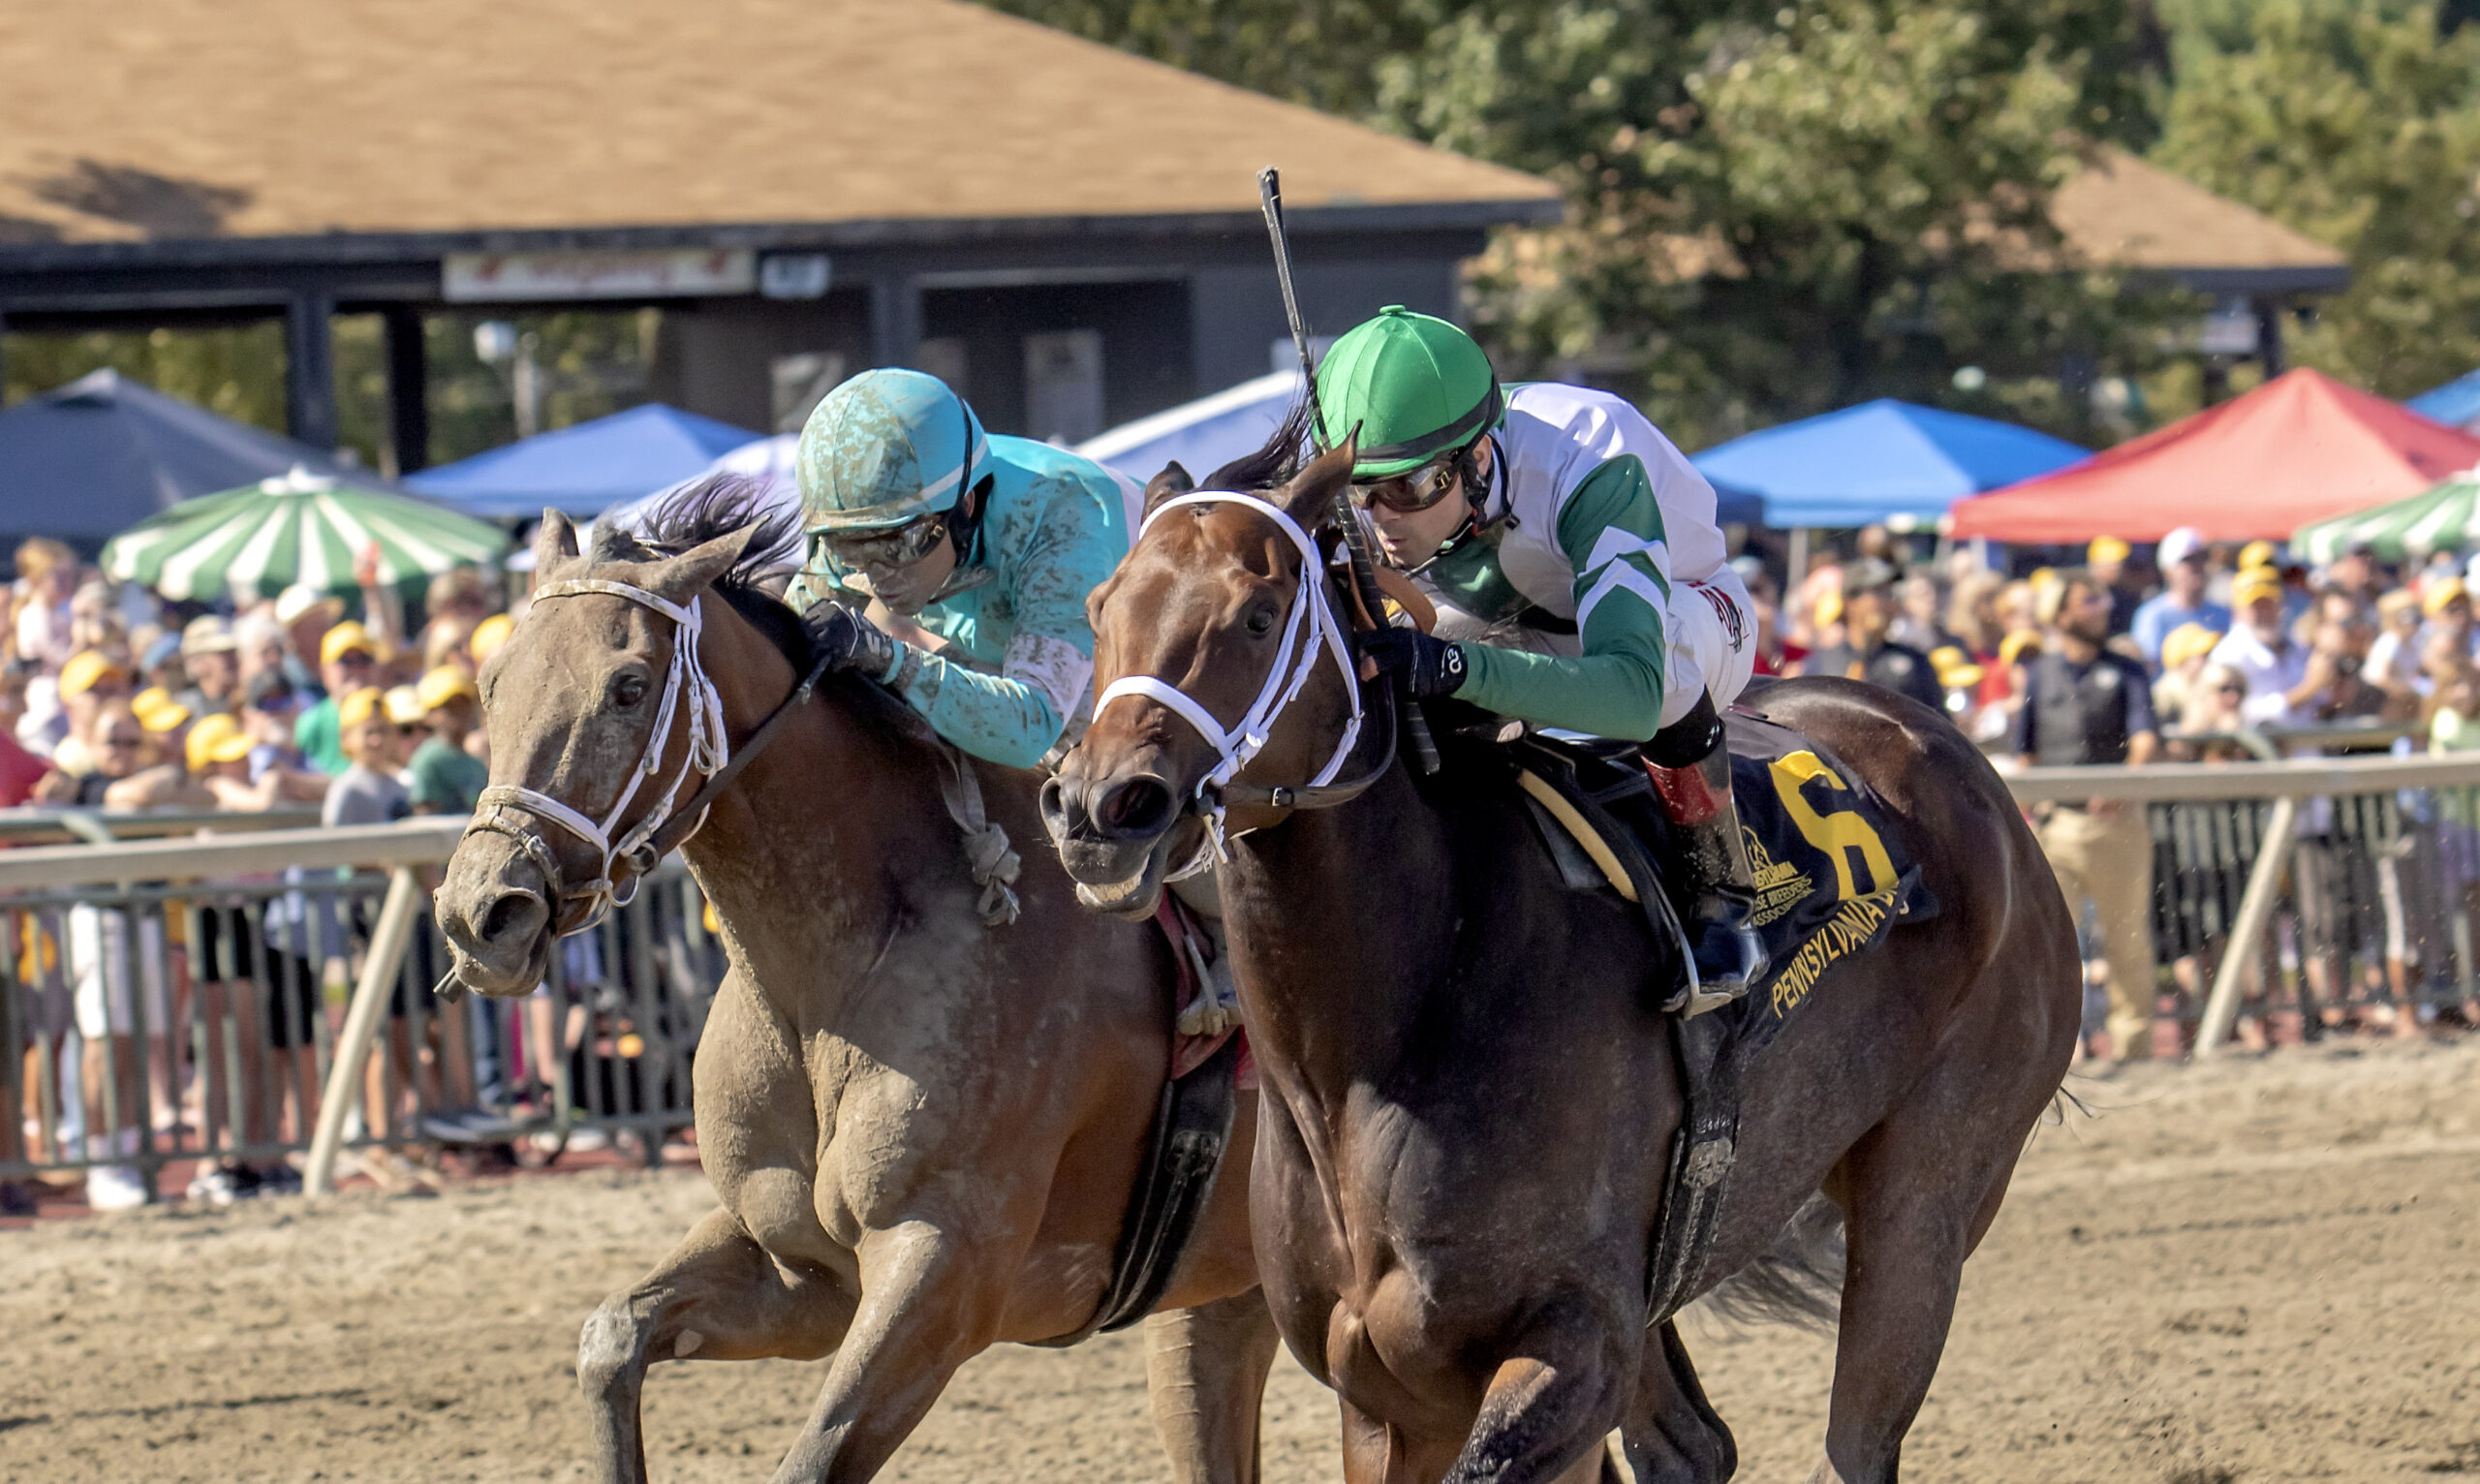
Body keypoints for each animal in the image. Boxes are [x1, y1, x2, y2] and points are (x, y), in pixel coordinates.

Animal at [433, 484, 1281, 1484]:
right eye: (493, 682)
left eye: (628, 687)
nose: (483, 912)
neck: (829, 982)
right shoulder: (802, 1271)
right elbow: (613, 1338)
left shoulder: (943, 1271)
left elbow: (810, 1460)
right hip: (1229, 1285)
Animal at [1042, 443, 2082, 1484]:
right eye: (1100, 607)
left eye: (1257, 617)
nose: (1100, 808)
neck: (1388, 1029)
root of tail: (1967, 765)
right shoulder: (1380, 1391)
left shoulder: (1572, 1341)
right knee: (1694, 1447)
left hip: (1927, 1197)